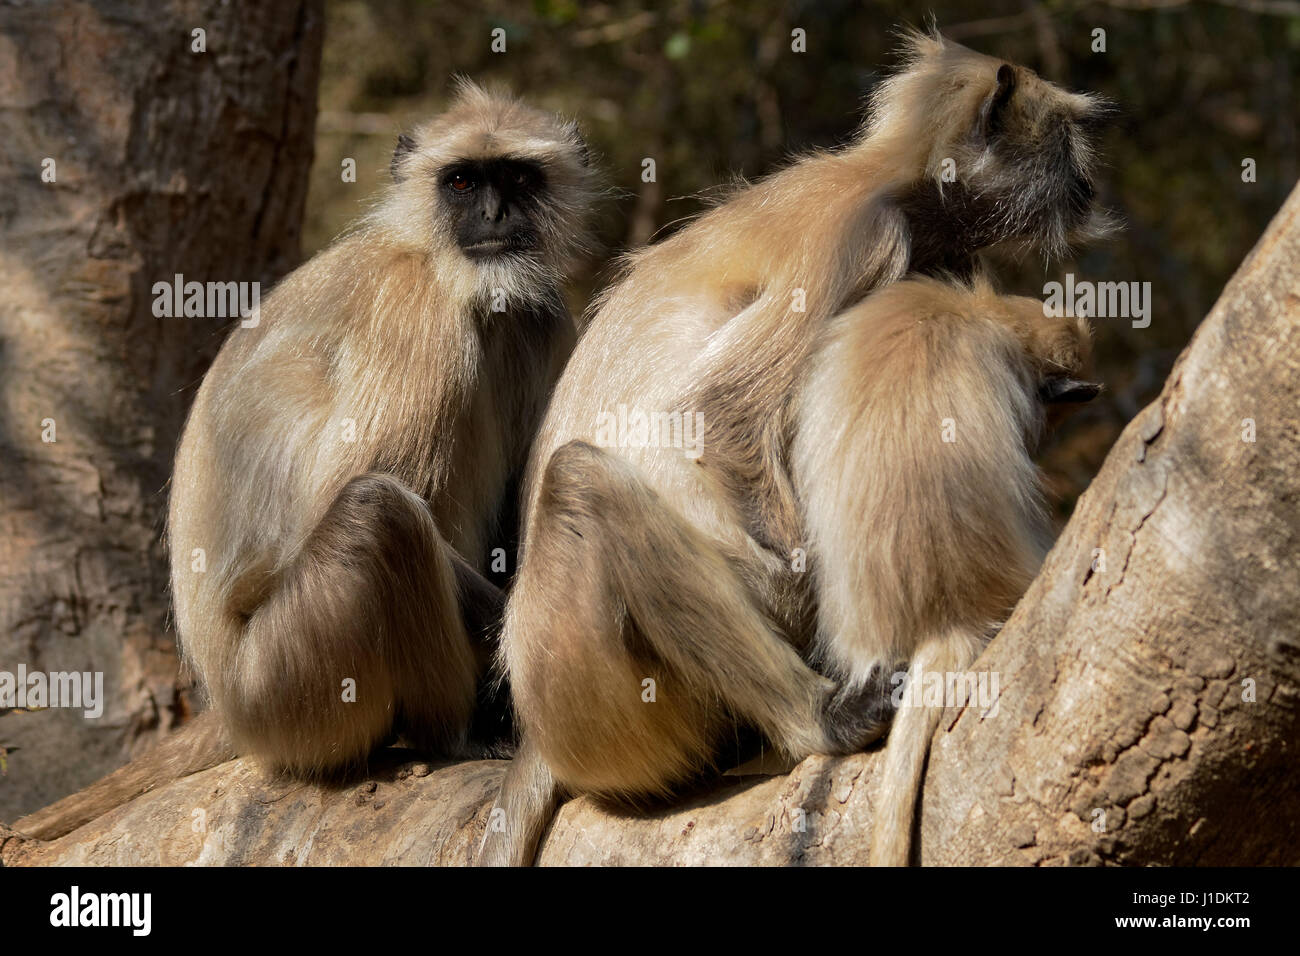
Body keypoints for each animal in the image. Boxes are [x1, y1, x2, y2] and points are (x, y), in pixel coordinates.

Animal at [13, 81, 597, 841]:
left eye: (519, 180)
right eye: (464, 182)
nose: (494, 215)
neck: (437, 260)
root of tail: (224, 695)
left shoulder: (542, 311)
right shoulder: (414, 306)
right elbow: (352, 491)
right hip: (285, 687)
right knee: (376, 513)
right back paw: (455, 732)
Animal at [478, 31, 1108, 866]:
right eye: (1067, 135)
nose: (1089, 178)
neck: (895, 185)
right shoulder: (867, 235)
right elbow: (720, 413)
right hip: (599, 684)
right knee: (585, 482)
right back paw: (818, 720)